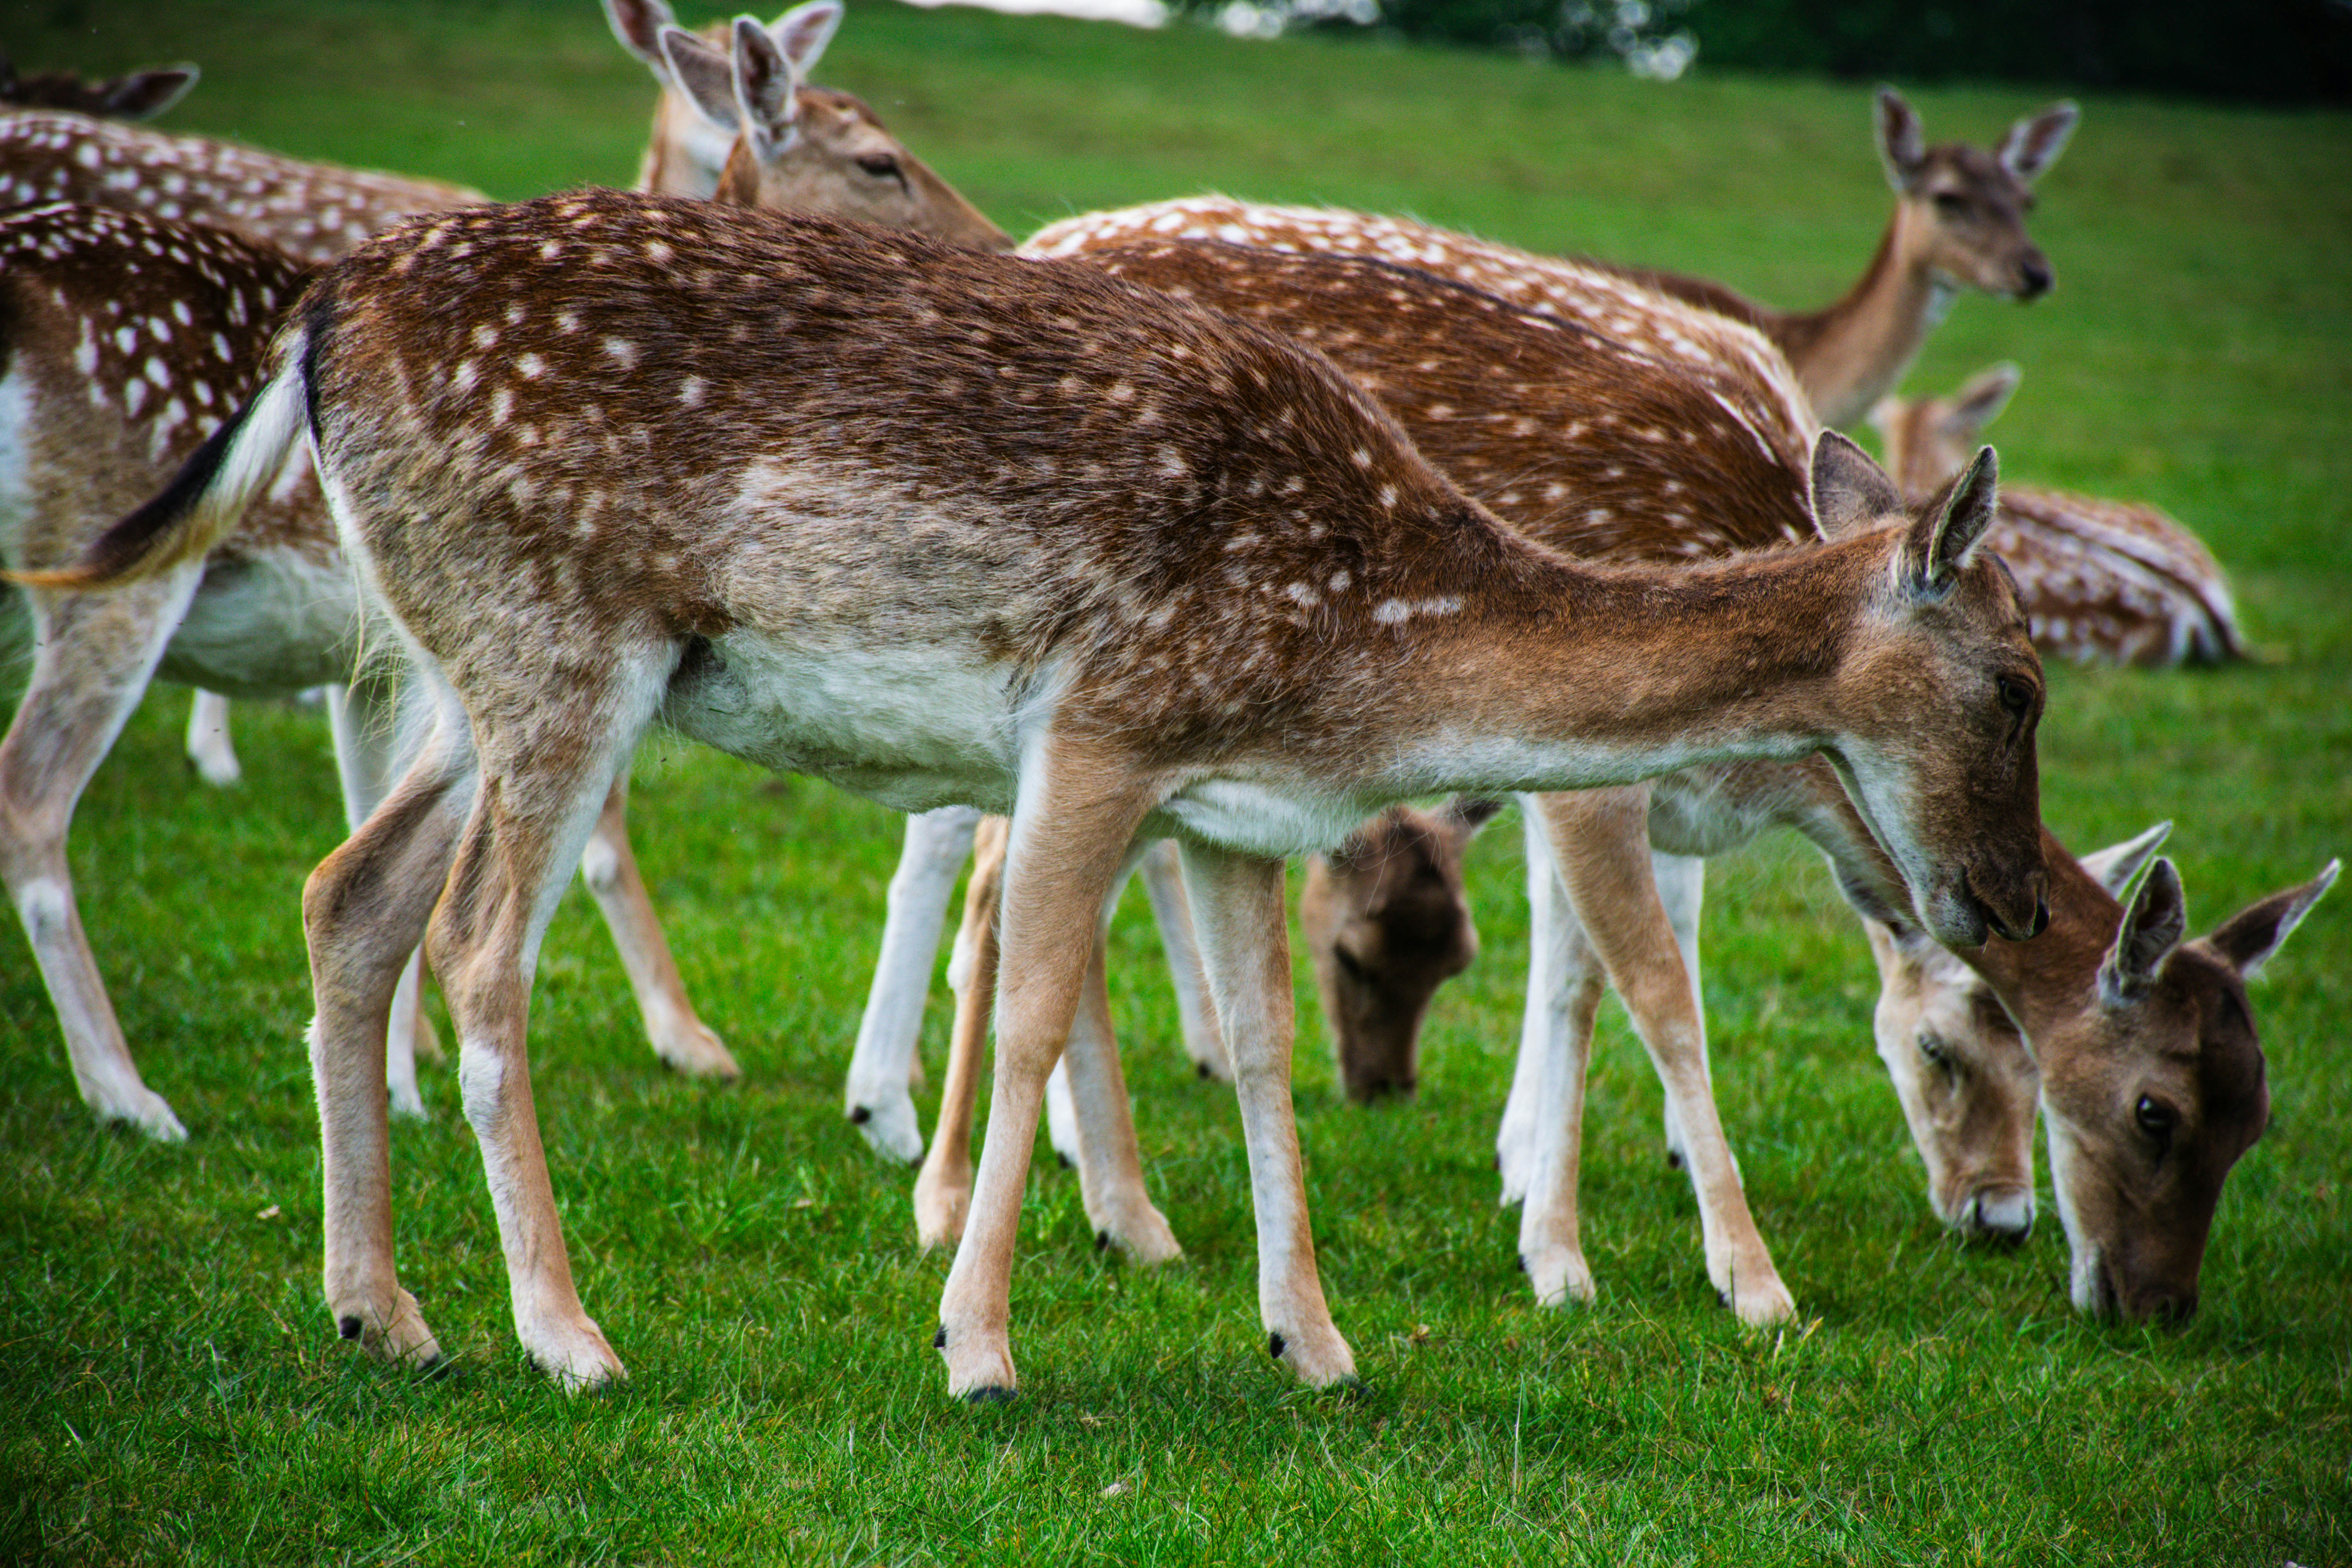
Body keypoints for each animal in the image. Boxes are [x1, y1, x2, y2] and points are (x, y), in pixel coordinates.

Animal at [19, 188, 2053, 1394]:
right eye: (2021, 683)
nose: (2016, 897)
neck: (1369, 649)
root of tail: (323, 315)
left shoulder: (1230, 807)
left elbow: (1254, 1044)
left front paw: (1310, 1337)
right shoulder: (1099, 724)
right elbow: (1029, 1005)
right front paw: (978, 1337)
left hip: (455, 657)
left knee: (346, 895)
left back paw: (381, 1305)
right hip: (552, 643)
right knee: (475, 947)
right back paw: (562, 1331)